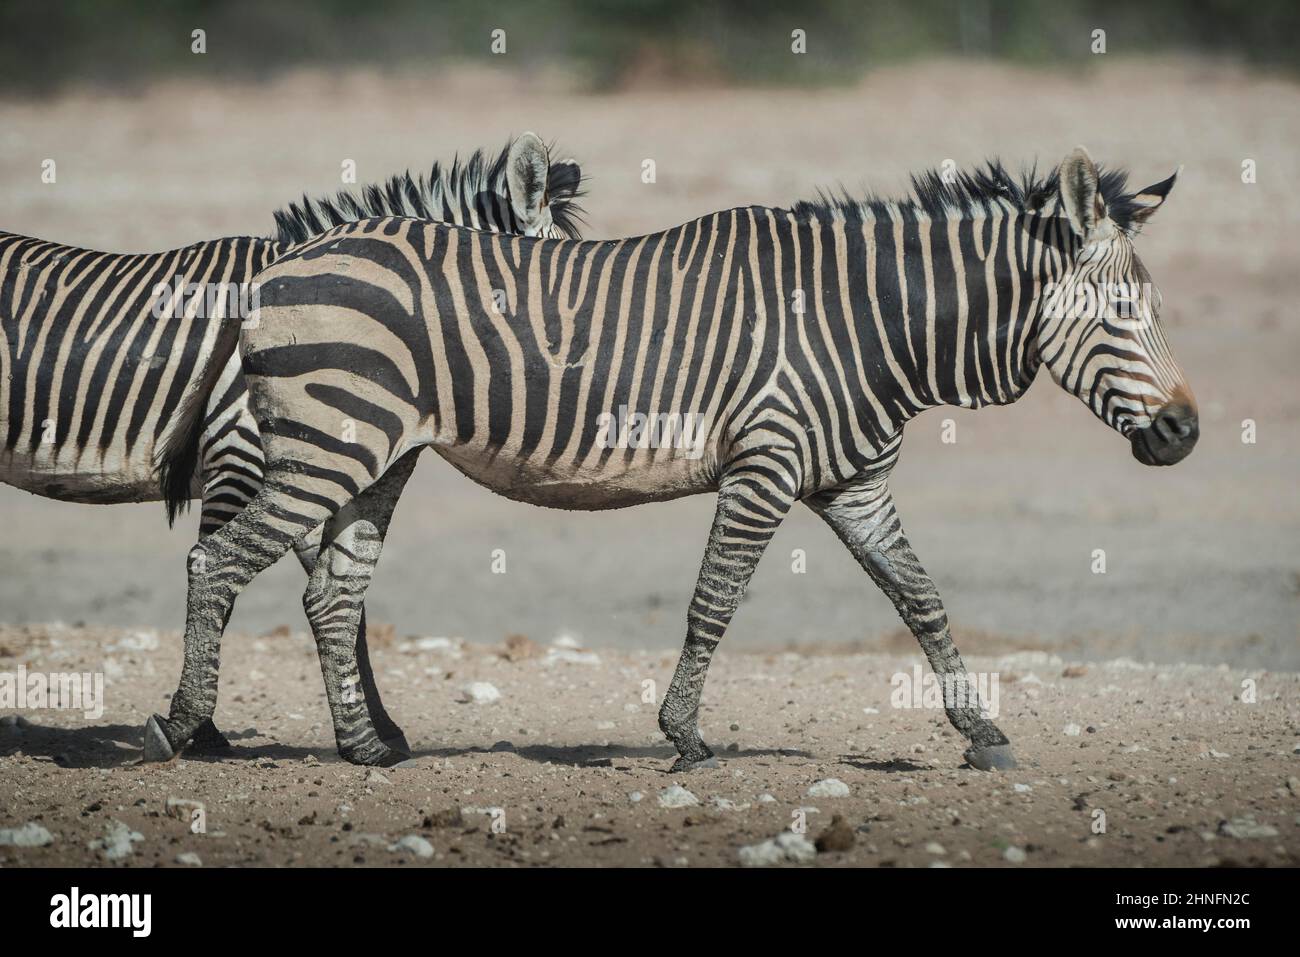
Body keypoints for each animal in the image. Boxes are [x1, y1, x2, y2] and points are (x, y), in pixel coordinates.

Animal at [144, 146, 1197, 771]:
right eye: (1119, 314)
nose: (1186, 432)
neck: (868, 325)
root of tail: (275, 265)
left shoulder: (853, 484)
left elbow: (923, 599)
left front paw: (983, 733)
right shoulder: (766, 465)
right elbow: (715, 601)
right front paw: (684, 735)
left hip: (377, 454)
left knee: (331, 590)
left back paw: (368, 747)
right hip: (328, 446)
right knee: (215, 560)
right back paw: (182, 727)